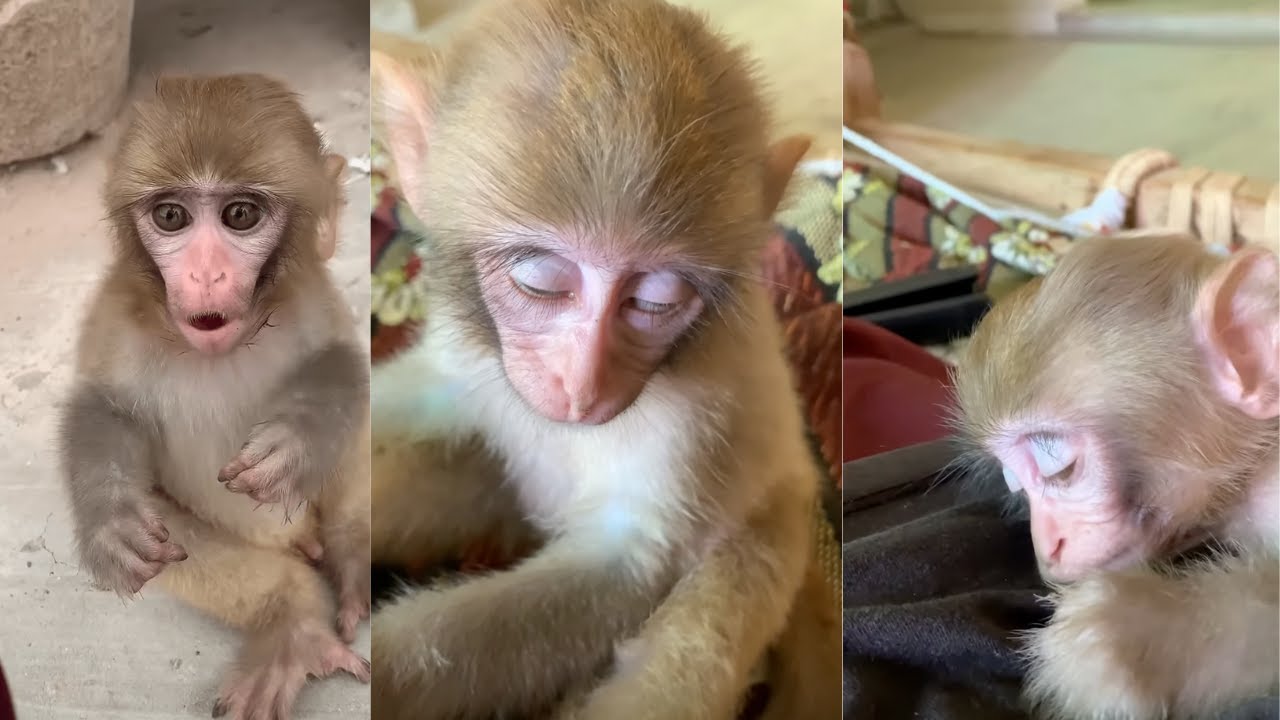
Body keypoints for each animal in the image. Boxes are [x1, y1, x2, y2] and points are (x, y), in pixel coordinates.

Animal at [59, 74, 372, 720]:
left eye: (240, 215)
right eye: (171, 216)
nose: (205, 275)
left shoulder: (309, 292)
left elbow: (340, 361)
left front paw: (296, 442)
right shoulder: (116, 316)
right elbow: (102, 408)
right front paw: (109, 518)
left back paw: (354, 551)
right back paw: (292, 619)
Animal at [365, 0, 838, 717]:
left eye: (655, 299)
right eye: (539, 281)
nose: (580, 385)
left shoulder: (702, 413)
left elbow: (628, 566)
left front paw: (385, 670)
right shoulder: (466, 341)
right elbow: (431, 390)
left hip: (772, 529)